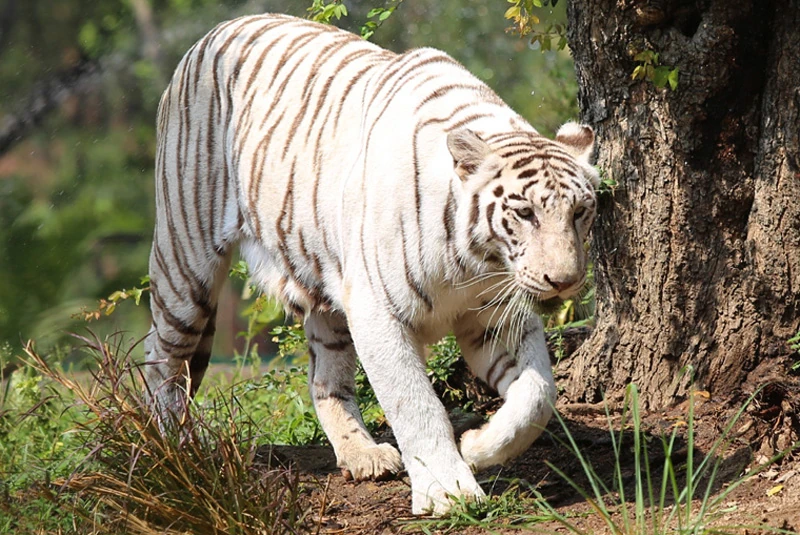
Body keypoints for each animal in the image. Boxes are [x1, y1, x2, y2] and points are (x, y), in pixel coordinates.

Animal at [144, 13, 599, 515]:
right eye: (525, 213)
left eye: (581, 211)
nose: (565, 280)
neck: (475, 262)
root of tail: (219, 29)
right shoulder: (379, 310)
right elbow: (414, 403)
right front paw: (448, 493)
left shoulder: (495, 315)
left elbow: (538, 395)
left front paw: (478, 447)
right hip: (185, 263)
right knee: (161, 359)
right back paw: (168, 449)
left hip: (327, 294)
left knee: (326, 380)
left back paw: (364, 455)